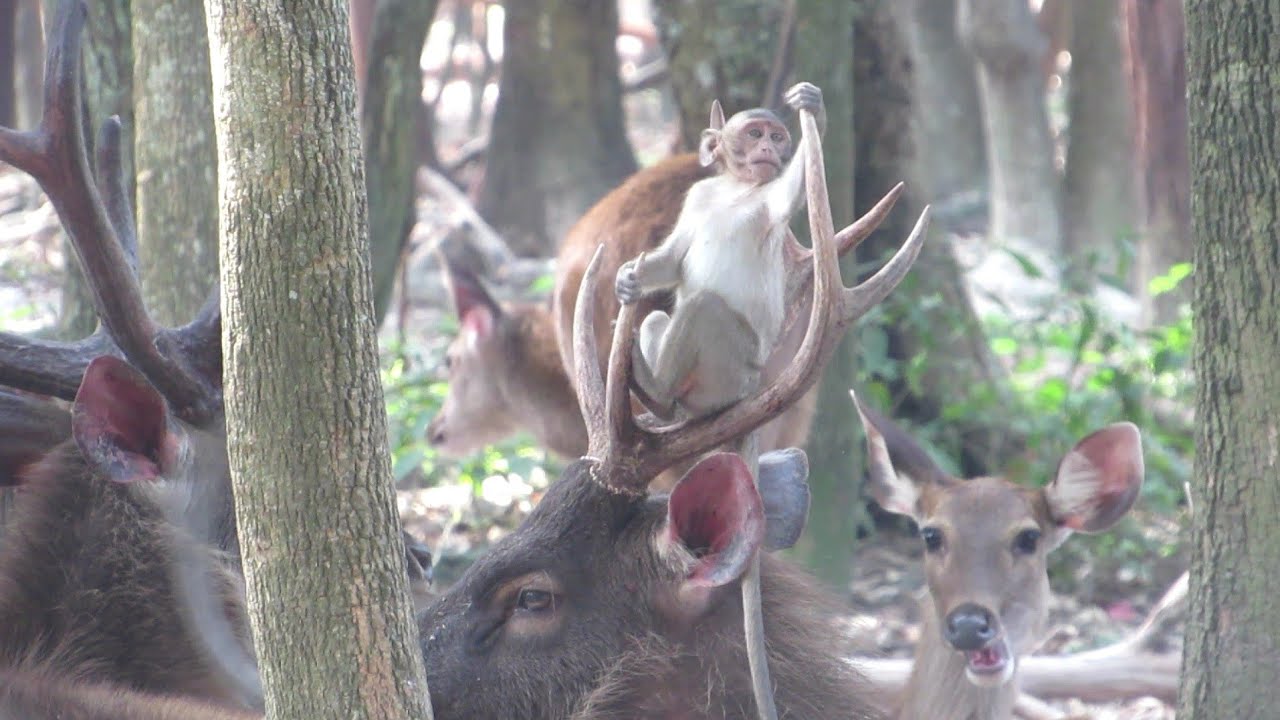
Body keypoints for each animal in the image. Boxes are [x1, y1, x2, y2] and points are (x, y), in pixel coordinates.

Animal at [614, 82, 827, 420]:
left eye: (776, 137)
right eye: (755, 134)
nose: (768, 148)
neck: (736, 187)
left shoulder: (769, 198)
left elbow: (792, 189)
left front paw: (813, 110)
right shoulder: (698, 194)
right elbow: (674, 259)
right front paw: (626, 279)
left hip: (731, 375)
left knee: (705, 307)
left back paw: (656, 392)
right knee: (657, 319)